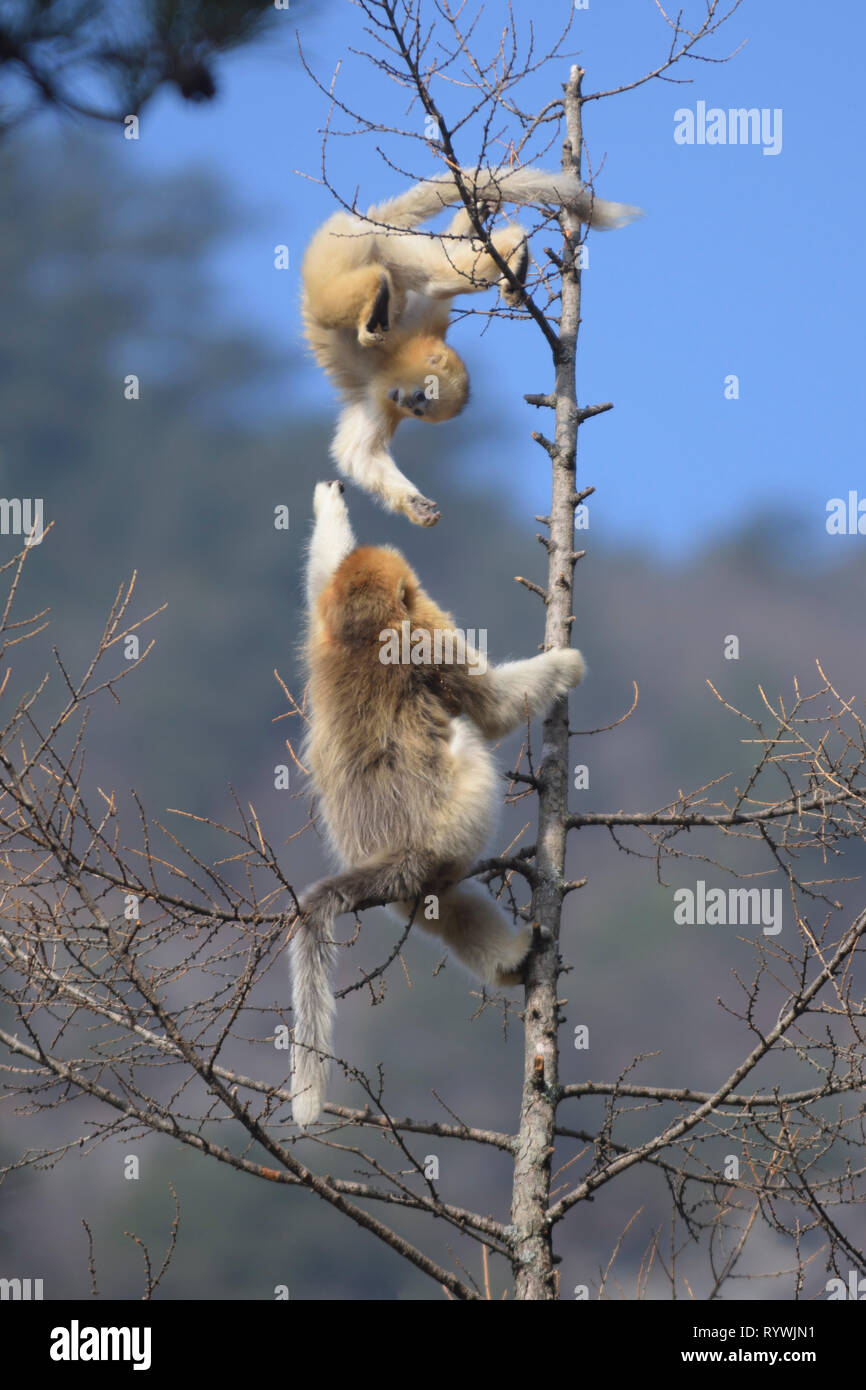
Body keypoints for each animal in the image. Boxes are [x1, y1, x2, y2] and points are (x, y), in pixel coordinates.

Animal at [289, 480, 586, 1126]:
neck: (361, 636)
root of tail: (396, 852)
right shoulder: (425, 635)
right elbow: (494, 706)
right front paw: (566, 665)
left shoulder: (322, 622)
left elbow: (321, 573)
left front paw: (330, 506)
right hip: (457, 820)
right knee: (467, 736)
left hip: (415, 874)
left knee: (438, 905)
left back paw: (508, 960)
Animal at [301, 165, 641, 527]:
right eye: (418, 398)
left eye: (419, 408)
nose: (405, 404)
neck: (394, 360)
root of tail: (369, 221)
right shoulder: (398, 362)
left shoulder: (387, 388)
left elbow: (358, 456)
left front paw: (417, 506)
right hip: (348, 248)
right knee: (420, 278)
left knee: (435, 278)